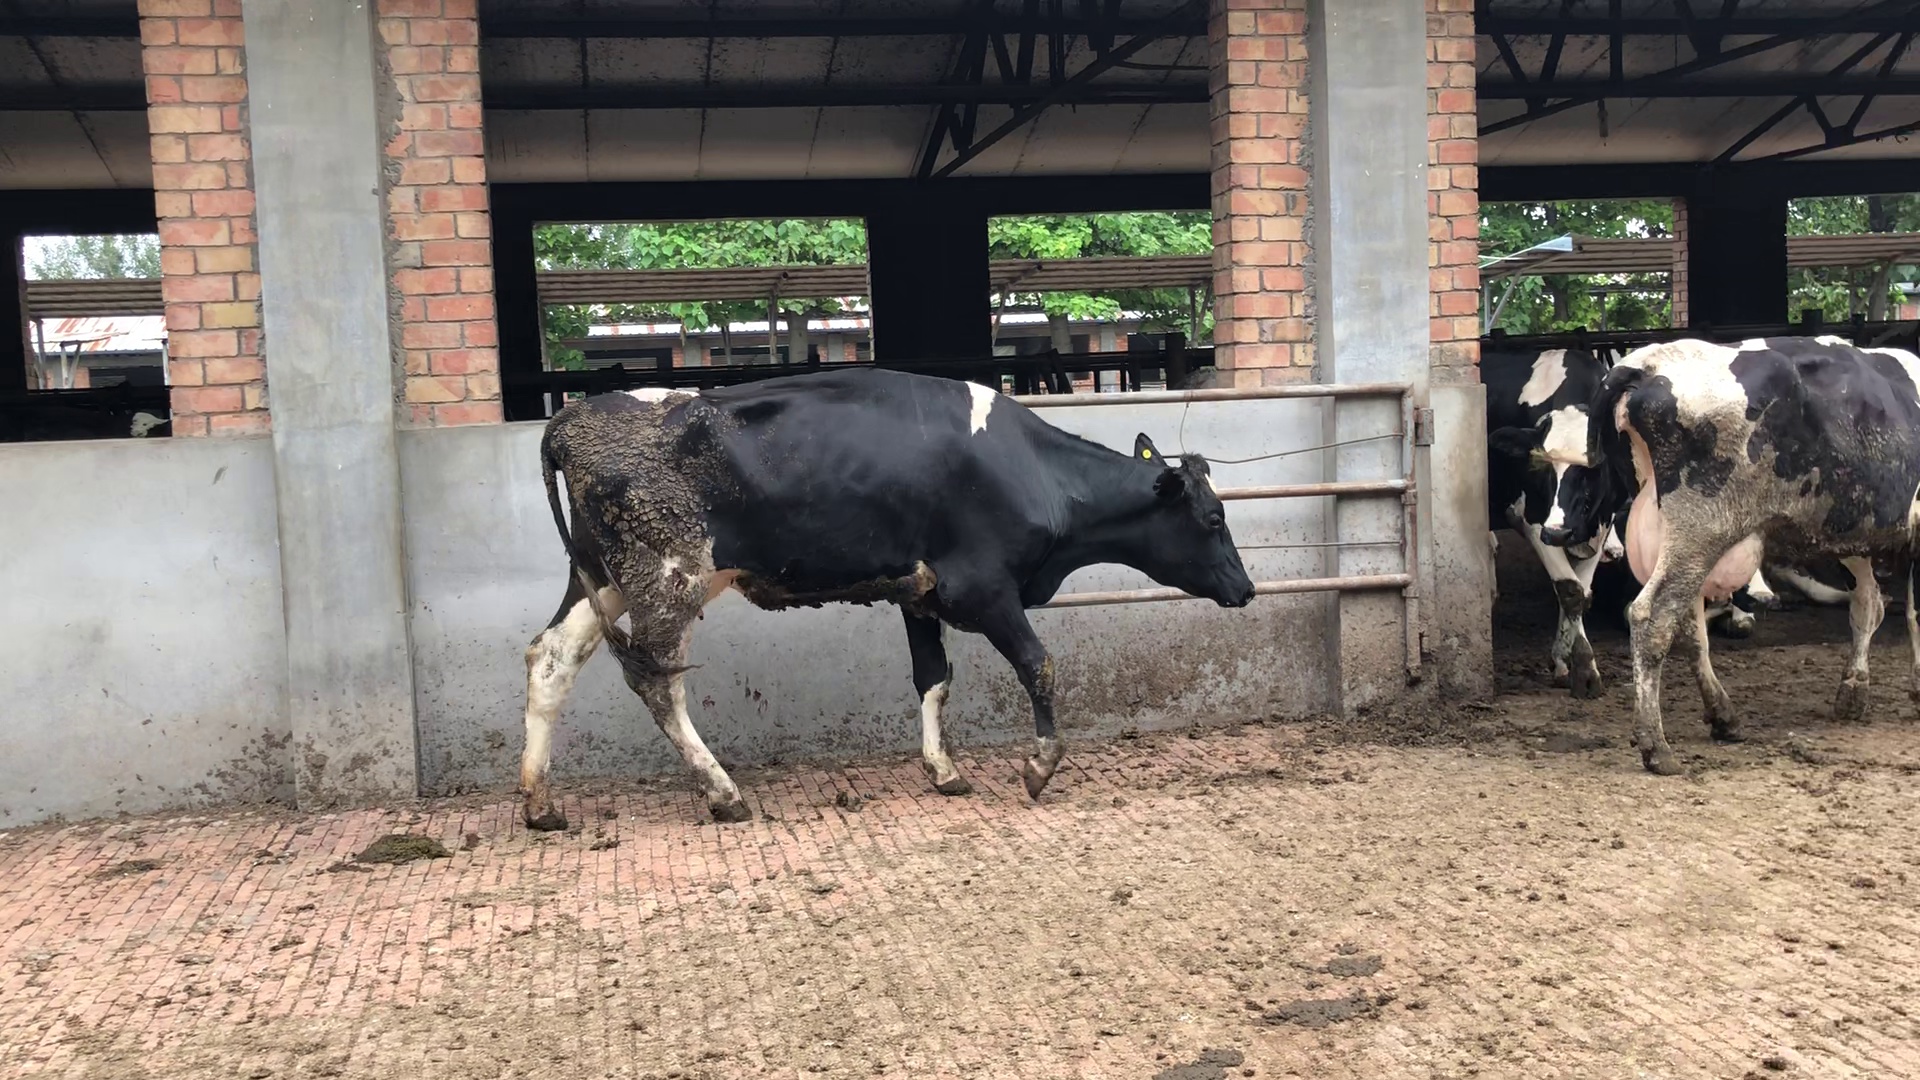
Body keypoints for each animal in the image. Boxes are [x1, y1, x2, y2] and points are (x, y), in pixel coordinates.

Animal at [519, 368, 1257, 828]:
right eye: (1213, 519)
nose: (1246, 588)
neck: (1031, 472)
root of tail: (572, 419)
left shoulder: (920, 594)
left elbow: (933, 679)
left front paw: (944, 769)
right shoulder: (984, 589)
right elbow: (1038, 665)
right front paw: (1040, 765)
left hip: (602, 578)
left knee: (551, 658)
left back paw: (540, 803)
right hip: (669, 577)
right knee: (658, 683)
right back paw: (723, 792)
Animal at [1542, 336, 1920, 775]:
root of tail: (1648, 362)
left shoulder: (1852, 529)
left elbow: (1868, 605)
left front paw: (1855, 690)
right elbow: (1911, 612)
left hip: (1680, 535)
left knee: (1688, 624)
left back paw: (1722, 715)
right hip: (1700, 528)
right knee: (1653, 617)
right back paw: (1656, 745)